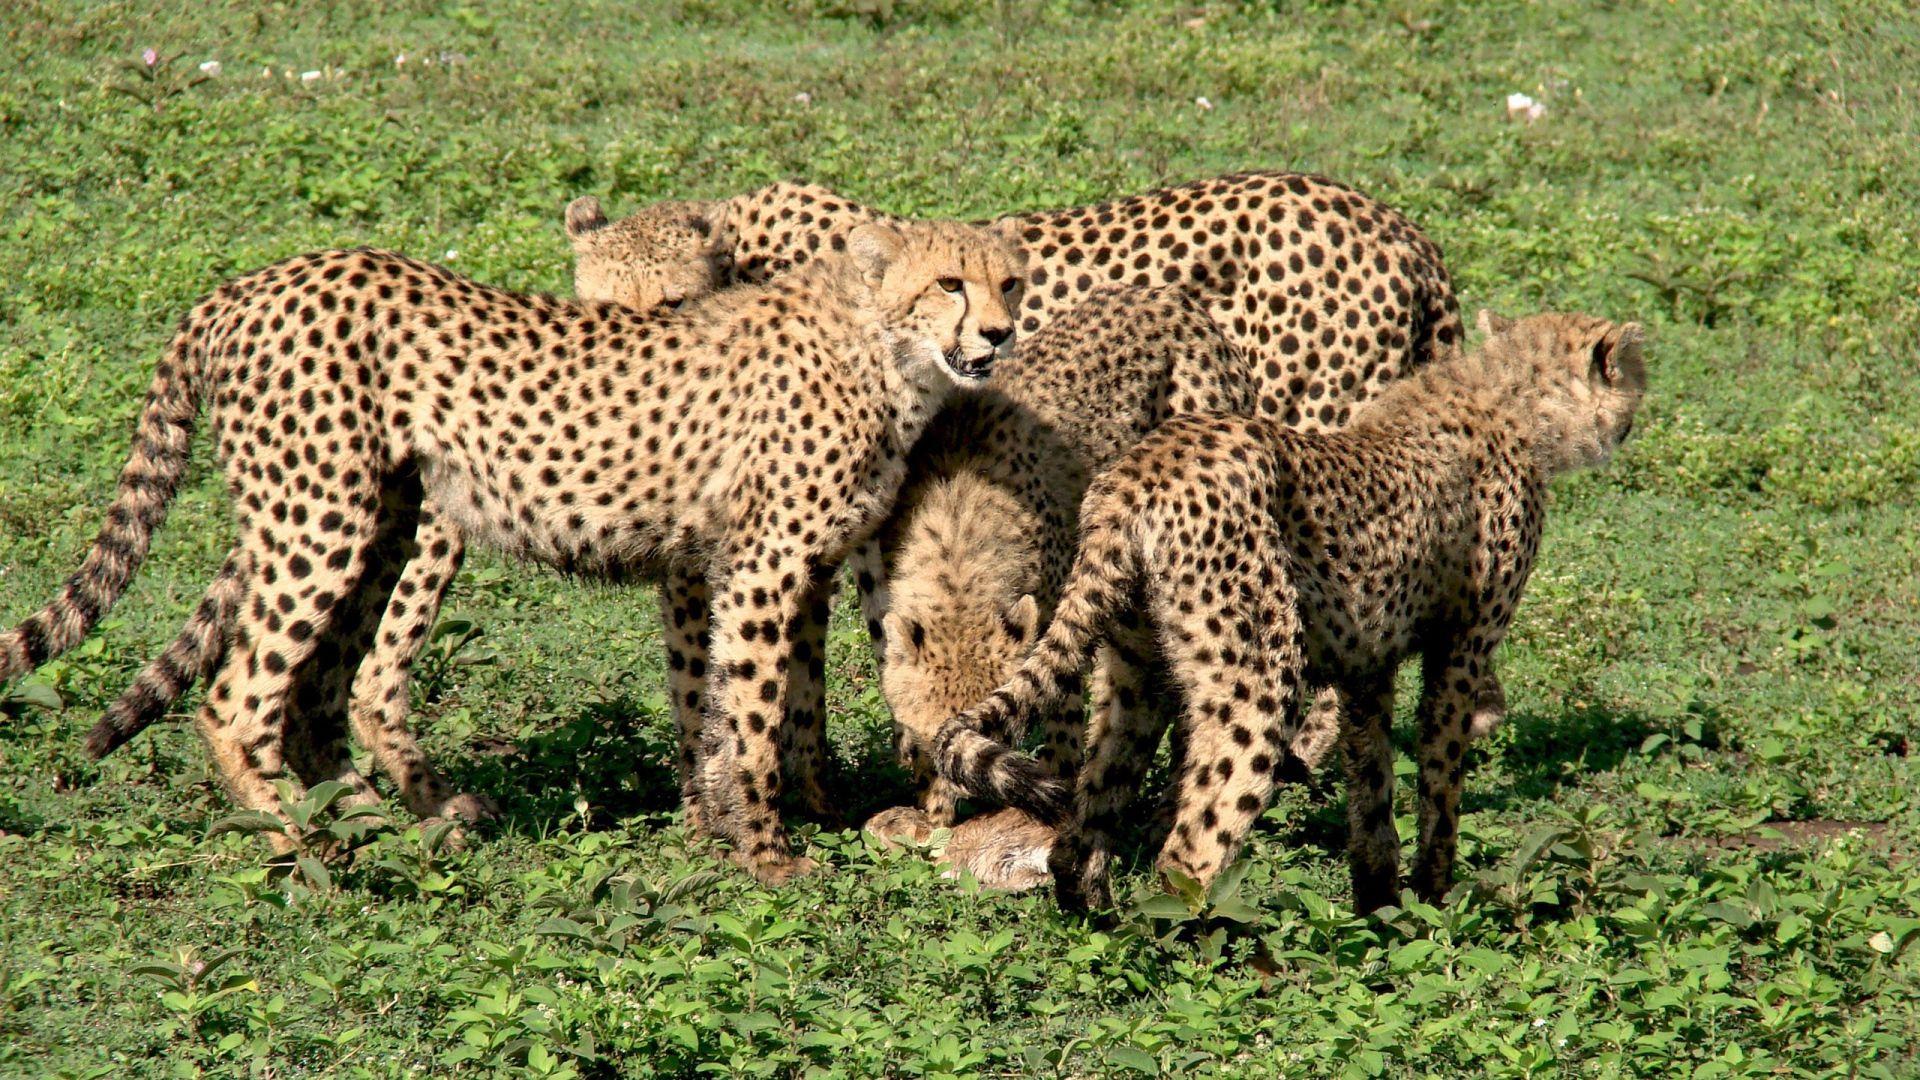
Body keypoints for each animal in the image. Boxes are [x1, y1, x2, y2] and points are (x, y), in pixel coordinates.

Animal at [1, 218, 1023, 887]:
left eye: (1007, 282)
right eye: (949, 283)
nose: (1001, 332)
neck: (882, 343)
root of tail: (249, 283)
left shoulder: (747, 567)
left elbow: (737, 704)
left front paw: (742, 825)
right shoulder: (762, 567)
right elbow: (757, 715)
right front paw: (771, 855)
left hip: (382, 522)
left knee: (322, 692)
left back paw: (384, 827)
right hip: (319, 518)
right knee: (239, 697)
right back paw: (308, 847)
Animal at [929, 310, 1648, 912]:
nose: (1630, 421)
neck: (1505, 394)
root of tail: (1139, 468)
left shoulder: (1369, 664)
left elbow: (1373, 789)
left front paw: (1381, 907)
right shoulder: (1461, 650)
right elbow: (1439, 785)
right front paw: (1436, 902)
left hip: (1137, 668)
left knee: (1084, 825)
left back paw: (1098, 927)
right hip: (1258, 675)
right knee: (1189, 850)